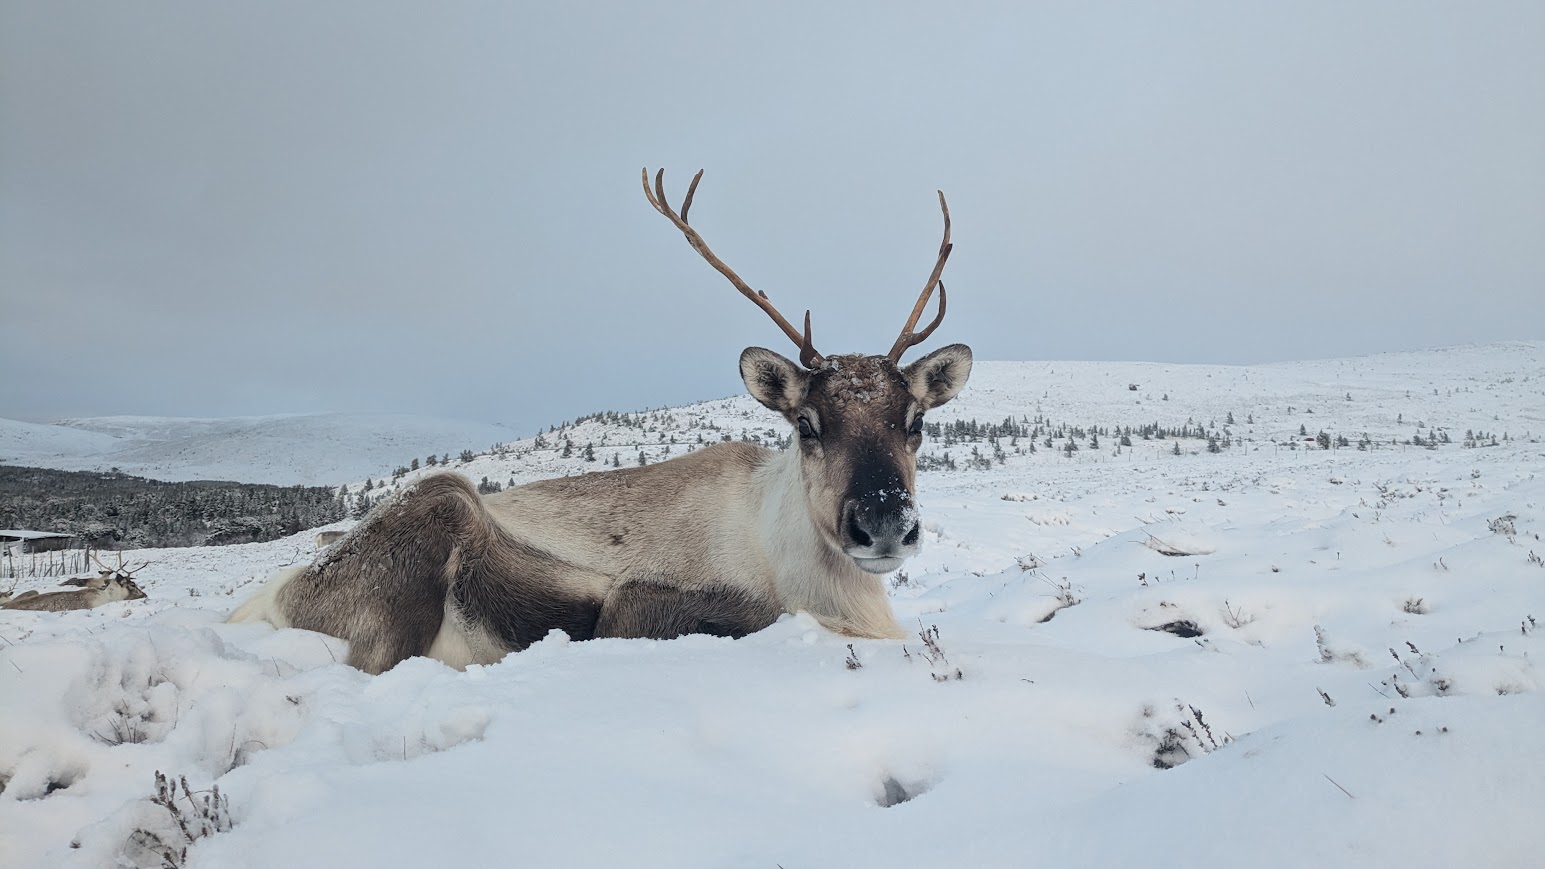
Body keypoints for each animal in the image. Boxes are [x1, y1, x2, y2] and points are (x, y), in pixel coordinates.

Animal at [228, 169, 973, 674]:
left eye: (915, 421)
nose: (883, 520)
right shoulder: (645, 604)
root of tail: (267, 598)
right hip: (437, 511)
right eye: (806, 424)